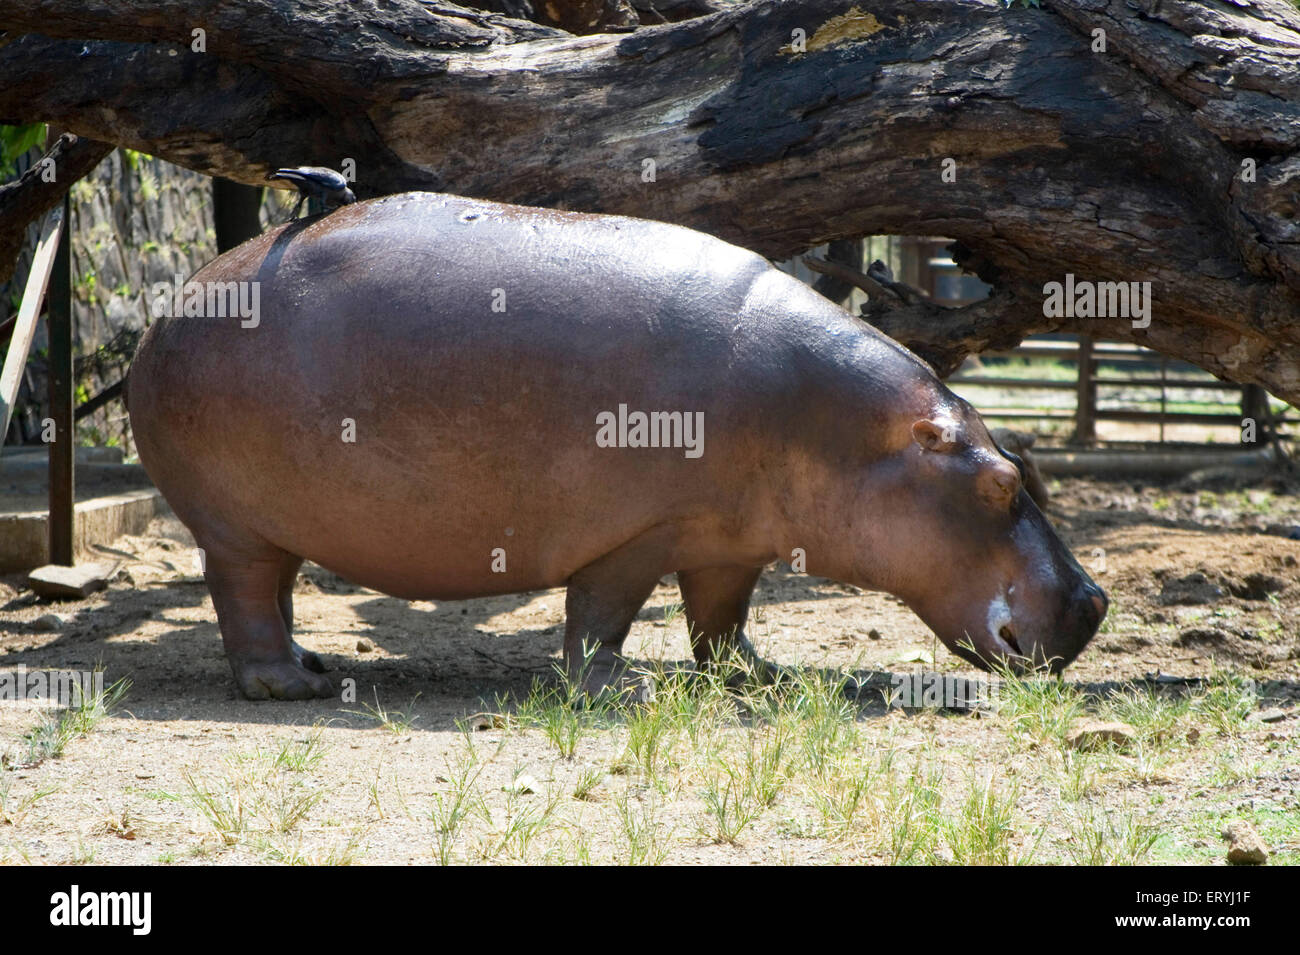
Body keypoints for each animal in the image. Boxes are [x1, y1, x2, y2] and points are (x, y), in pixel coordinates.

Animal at [127, 191, 1107, 700]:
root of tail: (170, 309)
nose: (1095, 601)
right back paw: (289, 687)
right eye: (1000, 481)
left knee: (277, 594)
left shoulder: (728, 538)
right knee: (244, 599)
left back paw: (310, 663)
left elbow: (722, 615)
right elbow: (603, 615)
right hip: (232, 525)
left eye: (1028, 470)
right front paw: (613, 690)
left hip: (270, 523)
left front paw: (755, 674)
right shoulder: (638, 534)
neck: (844, 429)